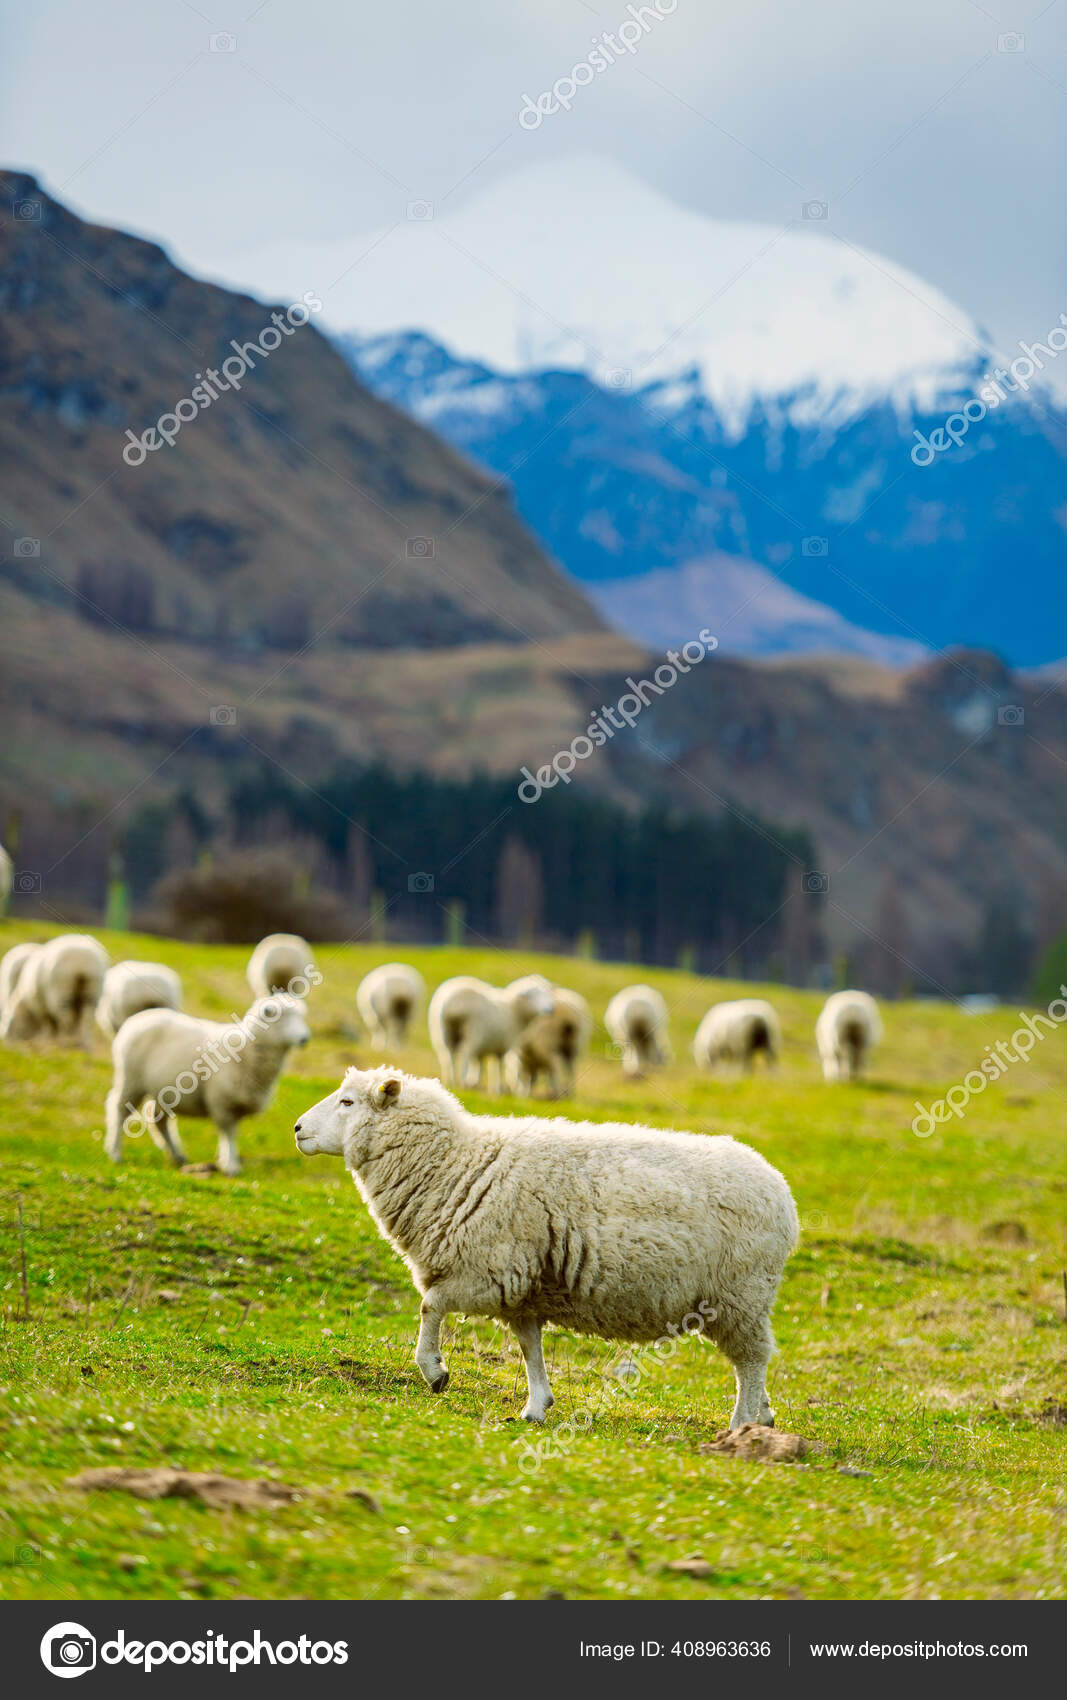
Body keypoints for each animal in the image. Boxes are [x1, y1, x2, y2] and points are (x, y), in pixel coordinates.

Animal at [105, 993, 311, 1176]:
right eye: (281, 1018)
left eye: (301, 1016)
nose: (305, 1038)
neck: (247, 1051)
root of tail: (136, 1019)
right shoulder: (222, 1101)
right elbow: (229, 1134)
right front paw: (231, 1165)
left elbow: (231, 1134)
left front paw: (226, 1160)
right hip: (131, 1079)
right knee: (119, 1110)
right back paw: (114, 1152)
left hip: (163, 1090)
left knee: (157, 1119)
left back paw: (177, 1155)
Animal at [294, 1066, 798, 1430]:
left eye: (347, 1102)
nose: (297, 1127)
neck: (457, 1165)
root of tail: (782, 1193)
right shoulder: (521, 1290)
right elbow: (529, 1348)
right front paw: (537, 1406)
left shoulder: (488, 1271)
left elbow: (429, 1306)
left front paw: (435, 1372)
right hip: (741, 1300)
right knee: (756, 1359)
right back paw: (764, 1415)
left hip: (737, 1294)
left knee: (752, 1360)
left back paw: (740, 1423)